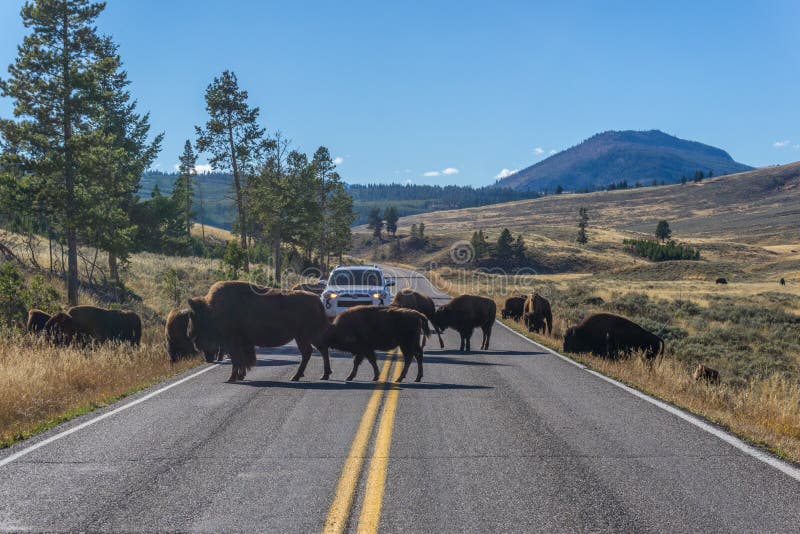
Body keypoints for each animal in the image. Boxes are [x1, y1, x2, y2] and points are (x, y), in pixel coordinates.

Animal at [187, 282, 331, 382]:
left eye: (193, 316)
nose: (190, 335)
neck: (212, 310)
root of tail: (317, 300)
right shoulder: (241, 343)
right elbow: (241, 360)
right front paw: (240, 376)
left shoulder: (232, 343)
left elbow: (236, 360)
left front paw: (231, 378)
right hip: (308, 337)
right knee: (321, 350)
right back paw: (323, 375)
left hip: (303, 337)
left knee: (310, 352)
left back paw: (296, 376)